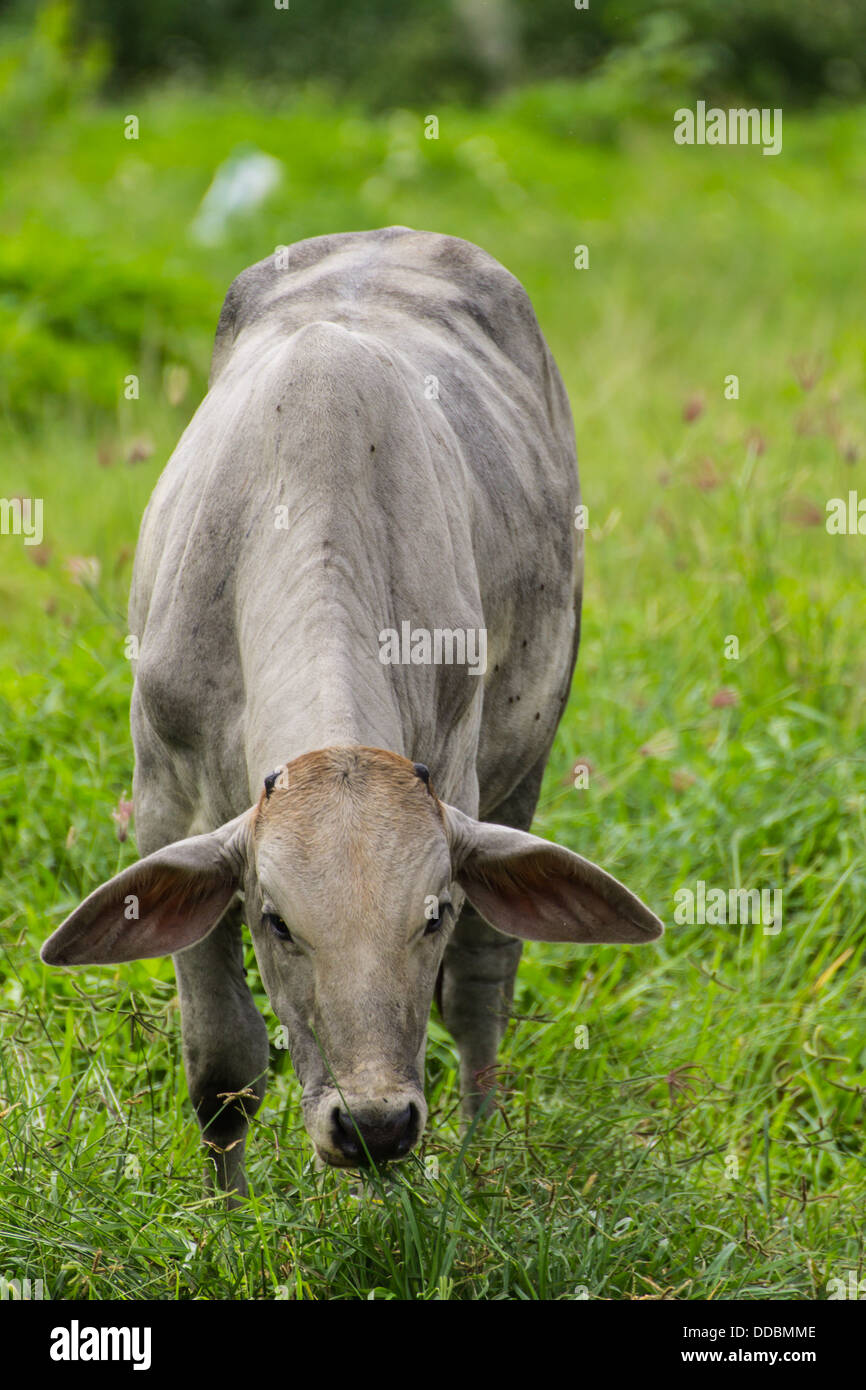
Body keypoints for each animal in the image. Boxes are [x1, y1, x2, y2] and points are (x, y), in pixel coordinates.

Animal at [42, 227, 662, 1197]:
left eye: (431, 913)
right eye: (276, 920)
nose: (373, 1123)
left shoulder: (461, 789)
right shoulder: (167, 806)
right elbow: (223, 1061)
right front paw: (229, 1216)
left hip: (528, 758)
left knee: (481, 996)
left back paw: (479, 1160)